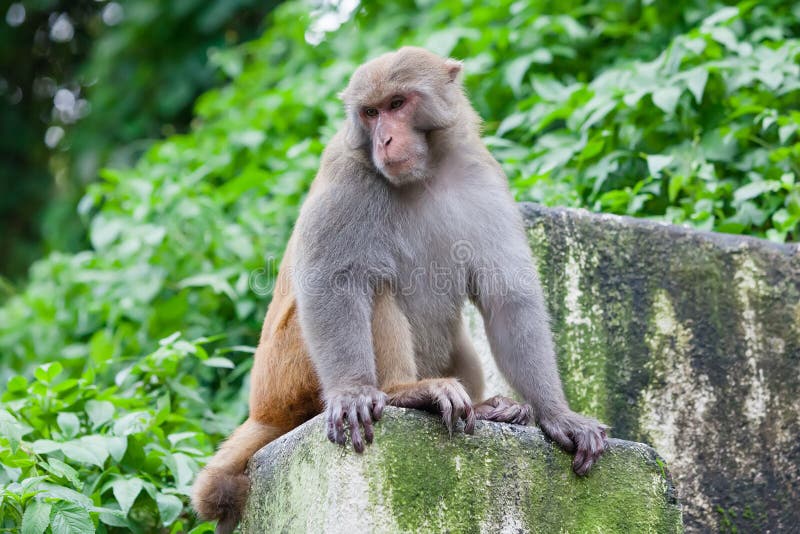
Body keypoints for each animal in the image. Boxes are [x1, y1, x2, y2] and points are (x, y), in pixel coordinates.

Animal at [192, 47, 608, 533]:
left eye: (397, 104)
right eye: (370, 113)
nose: (385, 140)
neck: (425, 174)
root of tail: (263, 411)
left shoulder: (483, 176)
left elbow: (507, 296)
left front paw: (557, 415)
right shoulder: (345, 172)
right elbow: (332, 279)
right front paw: (354, 391)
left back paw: (489, 408)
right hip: (294, 376)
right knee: (371, 286)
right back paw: (404, 392)